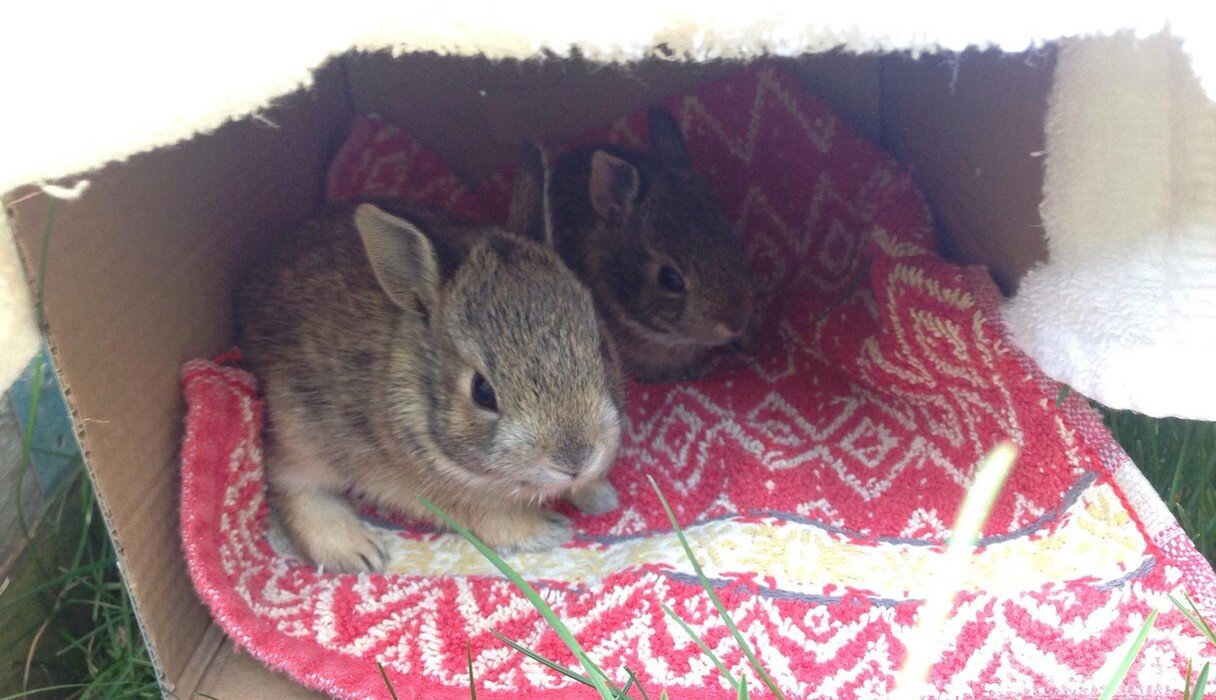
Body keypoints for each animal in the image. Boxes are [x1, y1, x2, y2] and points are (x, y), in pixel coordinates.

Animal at [235, 162, 624, 573]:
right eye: (482, 391)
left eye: (601, 347)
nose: (575, 460)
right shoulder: (431, 487)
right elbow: (488, 513)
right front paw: (547, 530)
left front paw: (599, 495)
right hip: (300, 431)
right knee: (289, 484)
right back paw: (357, 551)